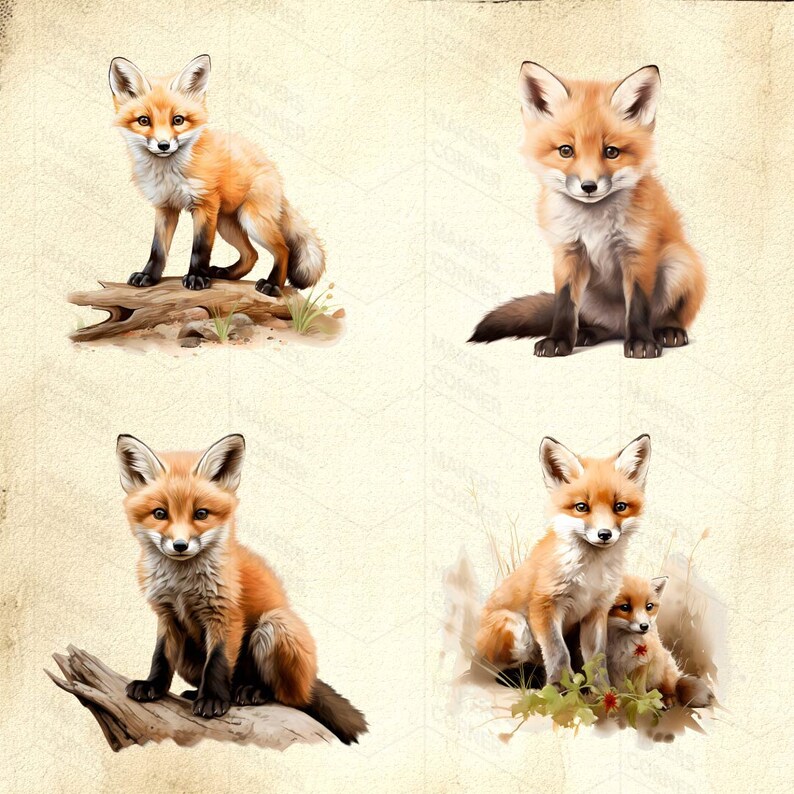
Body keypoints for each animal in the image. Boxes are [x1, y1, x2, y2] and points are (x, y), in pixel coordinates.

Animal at [108, 55, 325, 295]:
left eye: (178, 120)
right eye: (144, 121)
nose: (163, 145)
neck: (170, 173)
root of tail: (275, 174)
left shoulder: (205, 205)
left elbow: (200, 248)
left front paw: (196, 277)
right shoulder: (165, 207)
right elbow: (158, 249)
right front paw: (149, 276)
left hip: (251, 221)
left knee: (283, 249)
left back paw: (272, 285)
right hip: (227, 224)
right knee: (252, 254)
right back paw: (227, 274)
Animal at [116, 433, 366, 744]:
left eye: (201, 514)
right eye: (160, 514)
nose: (180, 546)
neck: (182, 585)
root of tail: (309, 682)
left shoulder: (225, 615)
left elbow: (218, 662)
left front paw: (212, 700)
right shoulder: (166, 614)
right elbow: (161, 657)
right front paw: (153, 686)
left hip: (274, 625)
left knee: (288, 698)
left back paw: (251, 691)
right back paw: (201, 692)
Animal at [469, 62, 706, 358]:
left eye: (612, 152)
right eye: (566, 151)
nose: (589, 186)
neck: (594, 222)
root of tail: (618, 327)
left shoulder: (637, 251)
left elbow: (639, 304)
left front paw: (642, 342)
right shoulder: (568, 252)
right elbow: (564, 304)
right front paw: (558, 340)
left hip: (678, 262)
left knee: (662, 315)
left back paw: (667, 331)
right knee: (598, 325)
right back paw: (588, 333)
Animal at [476, 435, 650, 687]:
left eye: (620, 507)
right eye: (581, 507)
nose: (604, 534)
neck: (590, 574)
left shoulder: (596, 611)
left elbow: (597, 659)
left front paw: (602, 690)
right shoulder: (544, 605)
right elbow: (558, 652)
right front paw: (561, 687)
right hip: (516, 627)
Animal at [607, 574, 714, 708]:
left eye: (649, 606)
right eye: (625, 607)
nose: (644, 626)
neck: (626, 645)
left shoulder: (643, 662)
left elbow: (639, 689)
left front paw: (642, 703)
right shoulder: (612, 665)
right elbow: (620, 687)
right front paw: (618, 700)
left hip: (663, 668)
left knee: (669, 689)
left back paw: (666, 700)